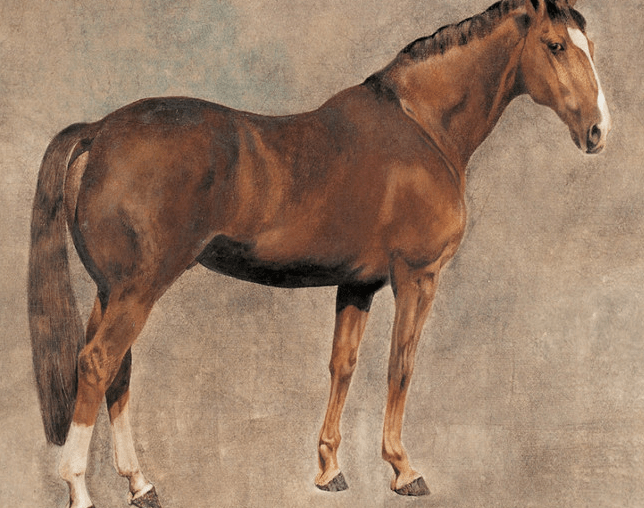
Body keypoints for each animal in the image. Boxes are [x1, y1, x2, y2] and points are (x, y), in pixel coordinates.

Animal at [28, 1, 610, 506]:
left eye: (590, 44)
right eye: (556, 45)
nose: (598, 131)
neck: (422, 126)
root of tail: (99, 132)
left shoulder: (358, 284)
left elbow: (342, 365)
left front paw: (330, 469)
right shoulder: (417, 277)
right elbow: (401, 364)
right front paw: (404, 470)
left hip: (111, 290)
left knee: (115, 370)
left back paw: (140, 484)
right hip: (137, 289)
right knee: (98, 362)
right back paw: (79, 488)